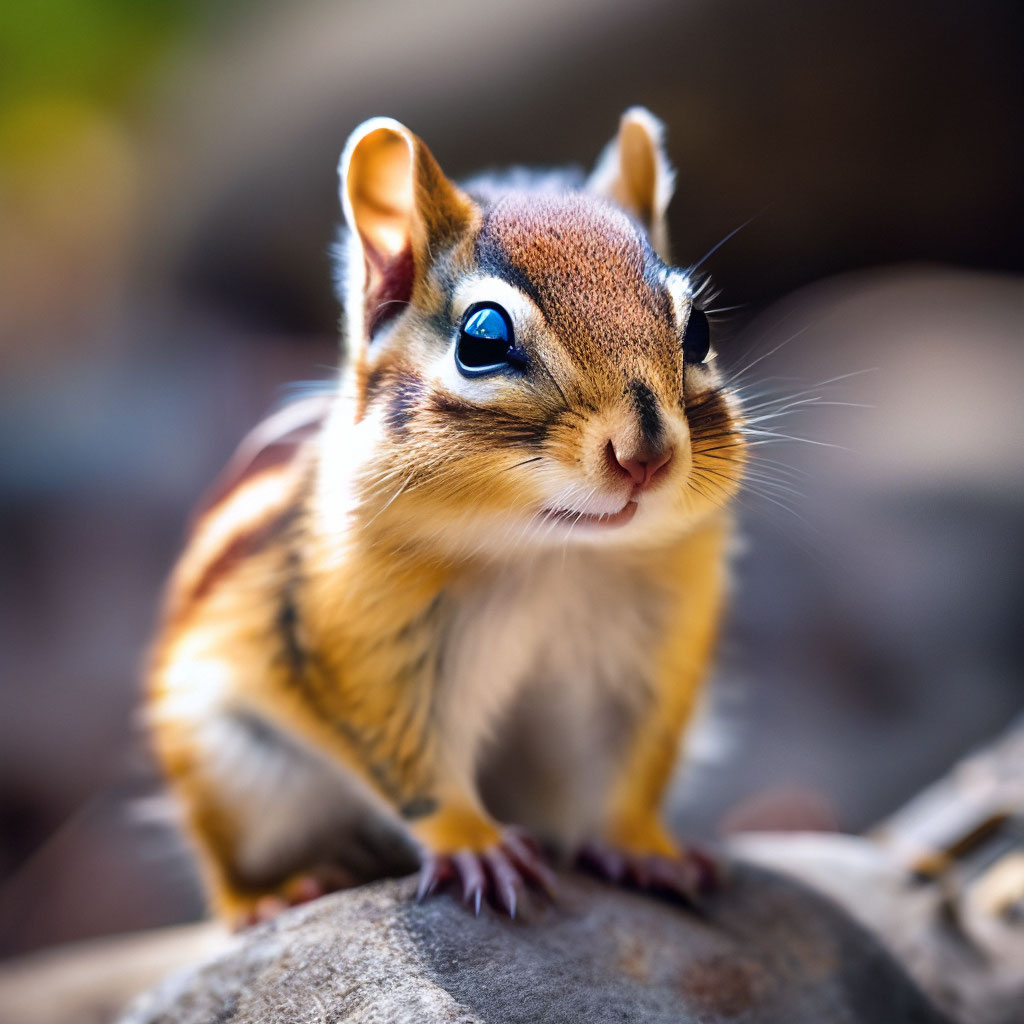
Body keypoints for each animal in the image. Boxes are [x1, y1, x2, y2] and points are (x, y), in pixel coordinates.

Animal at [147, 107, 747, 927]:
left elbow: (626, 771)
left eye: (700, 331)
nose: (646, 456)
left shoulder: (647, 659)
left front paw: (645, 849)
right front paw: (475, 844)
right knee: (229, 874)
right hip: (236, 770)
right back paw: (278, 893)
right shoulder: (364, 649)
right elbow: (411, 764)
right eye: (483, 338)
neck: (551, 556)